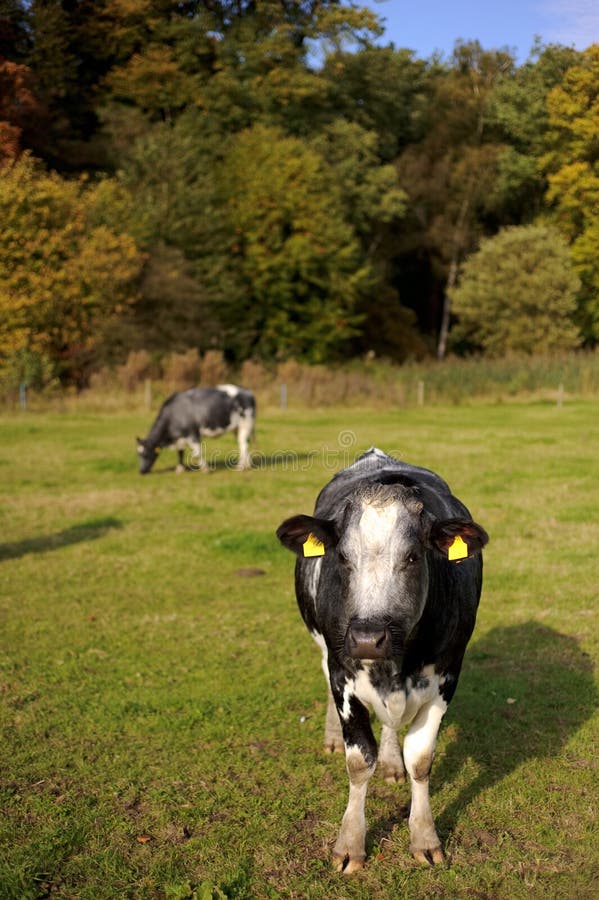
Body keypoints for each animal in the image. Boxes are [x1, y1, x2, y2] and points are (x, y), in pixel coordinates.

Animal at [276, 448, 488, 873]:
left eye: (413, 556)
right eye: (342, 556)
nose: (367, 639)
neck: (396, 666)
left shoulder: (446, 677)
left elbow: (420, 760)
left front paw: (424, 837)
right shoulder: (343, 675)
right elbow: (359, 762)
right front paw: (349, 844)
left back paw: (391, 761)